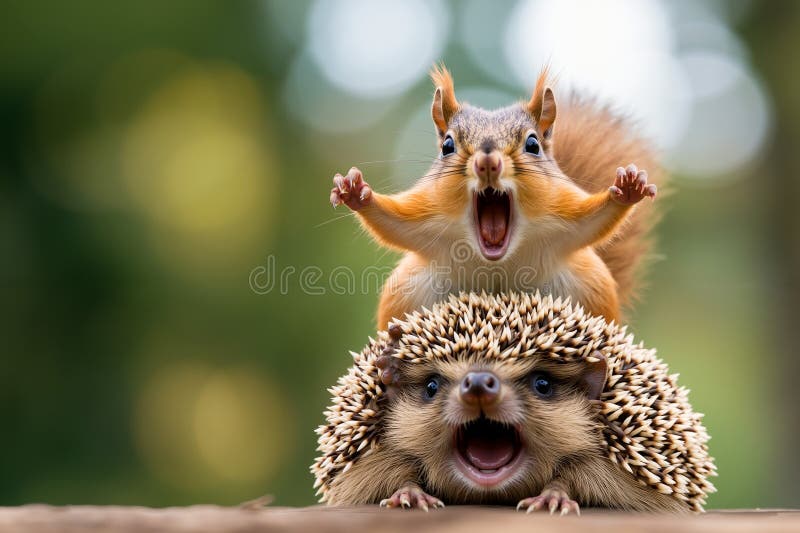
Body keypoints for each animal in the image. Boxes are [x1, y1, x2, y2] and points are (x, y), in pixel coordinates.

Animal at [330, 65, 660, 328]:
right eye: (447, 145)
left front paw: (627, 189)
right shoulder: (427, 217)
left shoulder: (563, 219)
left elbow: (594, 219)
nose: (488, 161)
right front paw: (357, 193)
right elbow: (393, 222)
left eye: (533, 144)